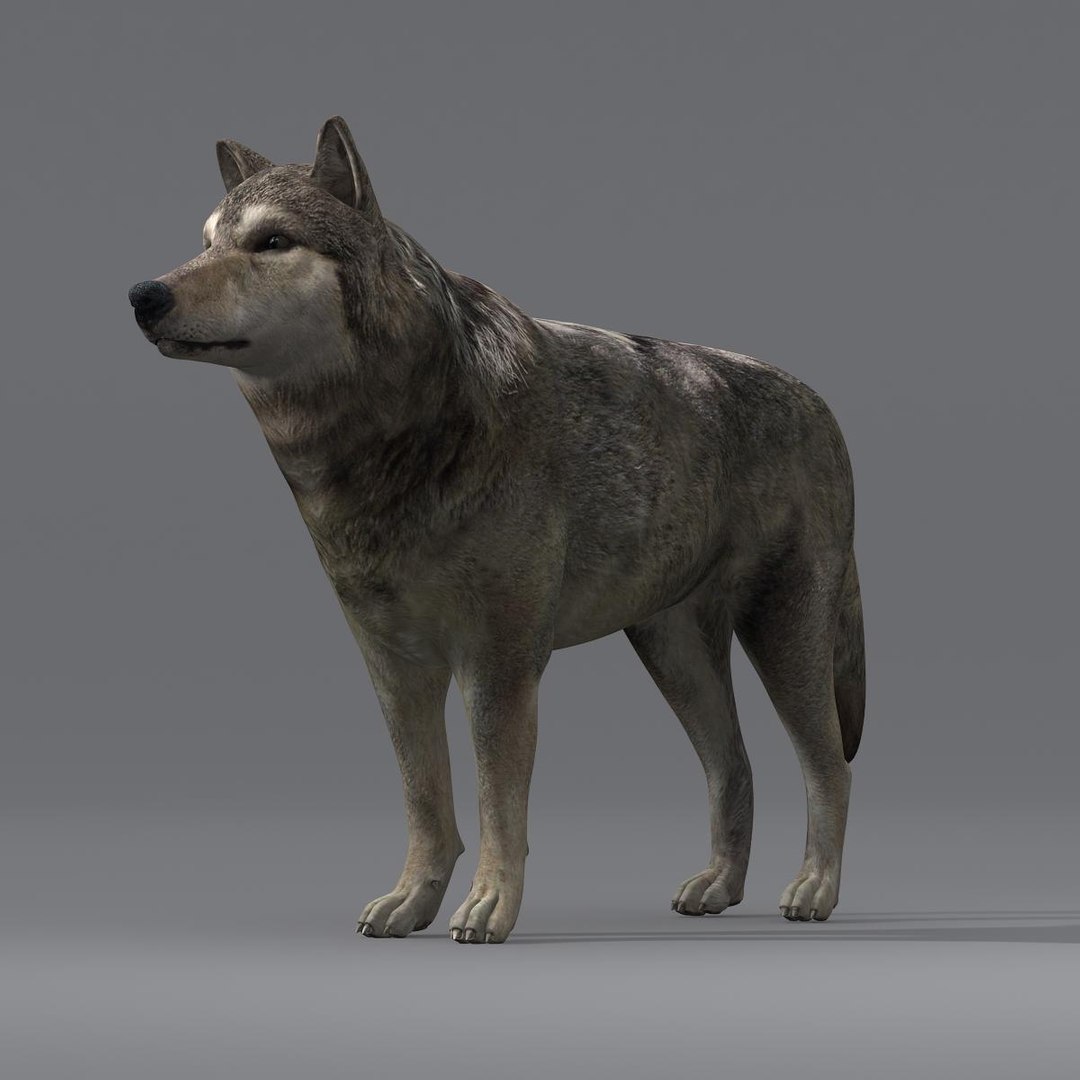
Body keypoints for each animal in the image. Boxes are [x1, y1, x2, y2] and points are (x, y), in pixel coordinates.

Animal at [129, 116, 865, 944]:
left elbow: (495, 805)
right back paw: (717, 888)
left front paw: (487, 908)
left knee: (828, 766)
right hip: (674, 652)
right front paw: (411, 901)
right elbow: (426, 802)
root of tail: (817, 400)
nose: (143, 294)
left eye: (272, 242)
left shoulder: (497, 665)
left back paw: (814, 890)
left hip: (783, 638)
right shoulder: (394, 665)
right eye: (205, 242)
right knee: (733, 765)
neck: (397, 437)